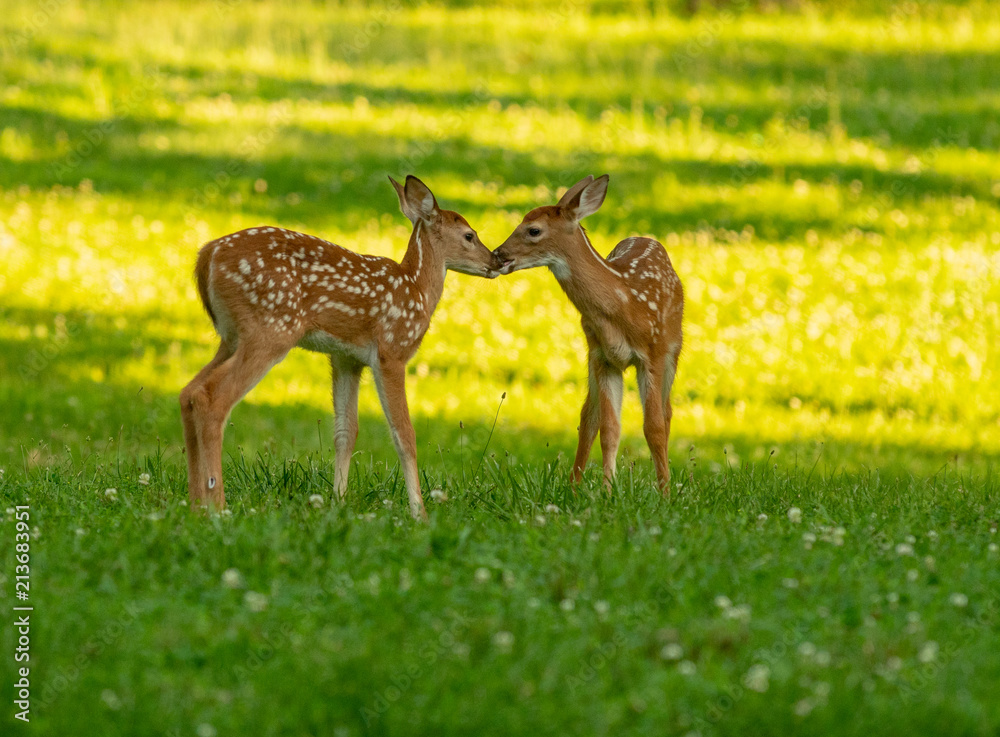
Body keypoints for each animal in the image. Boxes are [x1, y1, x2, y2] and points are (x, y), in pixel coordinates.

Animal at [179, 175, 501, 519]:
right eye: (469, 235)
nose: (495, 260)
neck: (417, 290)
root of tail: (206, 256)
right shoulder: (392, 351)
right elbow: (404, 433)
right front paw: (420, 513)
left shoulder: (346, 358)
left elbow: (346, 431)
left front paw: (338, 501)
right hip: (271, 329)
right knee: (212, 398)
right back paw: (217, 504)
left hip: (231, 337)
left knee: (189, 392)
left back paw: (196, 503)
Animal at [493, 175, 683, 495]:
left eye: (533, 229)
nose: (498, 254)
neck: (624, 306)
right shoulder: (603, 357)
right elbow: (608, 427)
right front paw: (606, 491)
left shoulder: (653, 354)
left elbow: (654, 426)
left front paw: (665, 494)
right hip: (591, 355)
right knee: (588, 415)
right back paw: (573, 485)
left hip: (673, 349)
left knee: (667, 413)